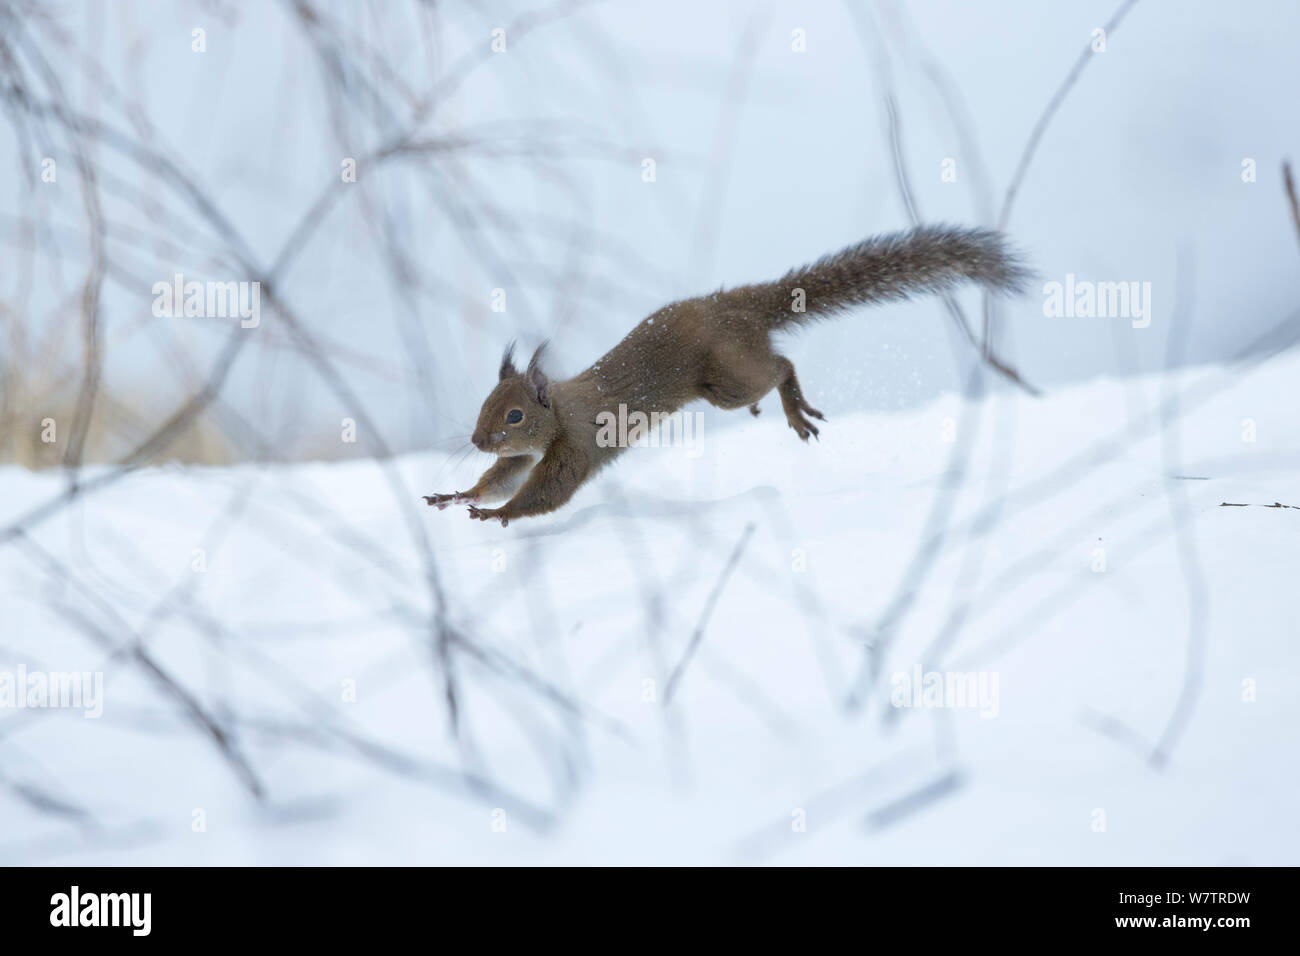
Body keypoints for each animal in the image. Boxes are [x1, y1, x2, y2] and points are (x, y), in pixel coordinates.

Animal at [425, 224, 1028, 525]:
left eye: (514, 414)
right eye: (484, 407)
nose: (477, 440)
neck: (556, 416)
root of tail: (736, 306)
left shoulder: (576, 445)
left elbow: (546, 493)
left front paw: (496, 515)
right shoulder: (523, 455)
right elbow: (505, 474)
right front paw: (458, 494)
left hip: (725, 383)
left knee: (781, 366)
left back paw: (792, 407)